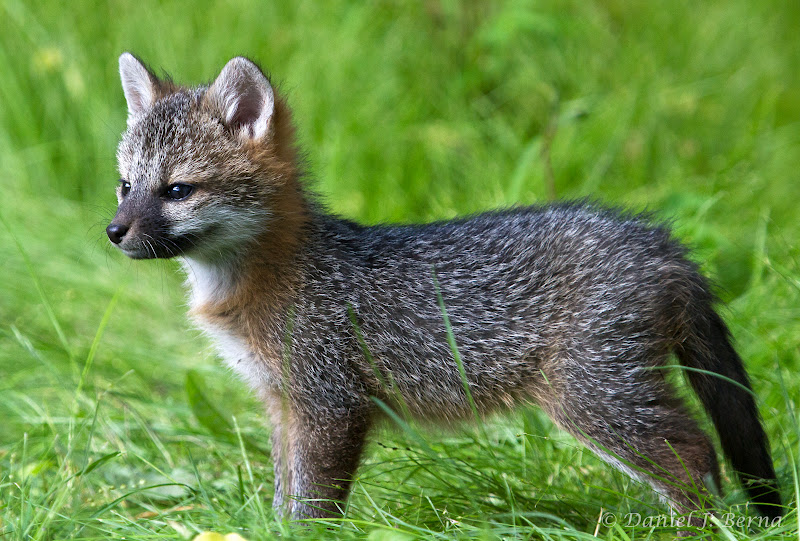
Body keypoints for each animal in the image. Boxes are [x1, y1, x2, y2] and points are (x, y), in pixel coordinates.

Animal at [108, 53, 782, 526]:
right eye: (125, 186)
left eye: (177, 191)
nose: (112, 231)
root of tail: (655, 237)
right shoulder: (283, 405)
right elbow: (284, 498)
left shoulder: (331, 405)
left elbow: (313, 508)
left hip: (596, 401)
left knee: (695, 456)